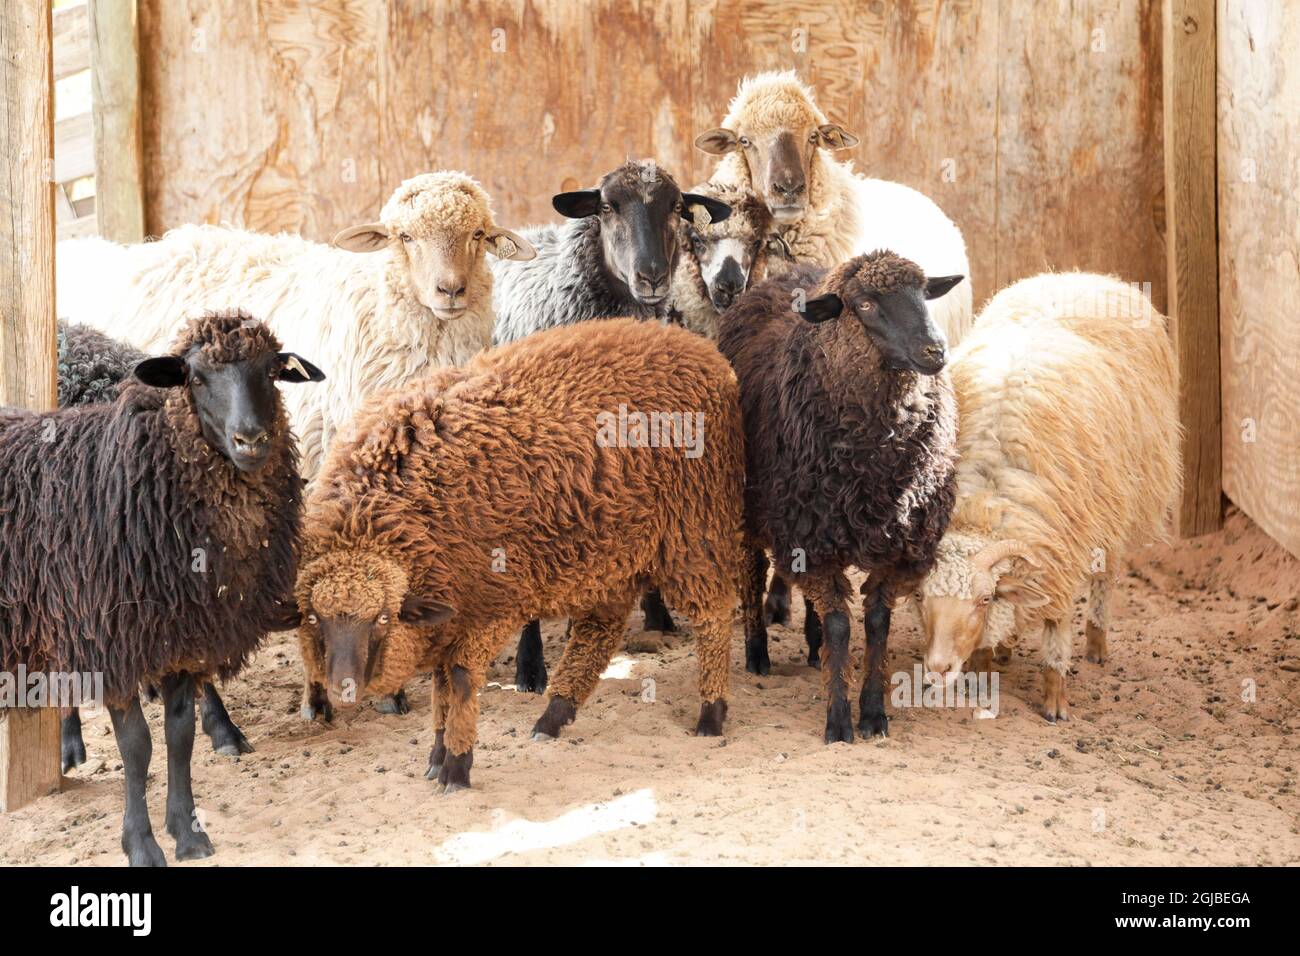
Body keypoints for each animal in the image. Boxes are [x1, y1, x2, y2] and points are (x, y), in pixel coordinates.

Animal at [293, 317, 746, 791]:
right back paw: (554, 716)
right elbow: (439, 685)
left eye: (382, 618)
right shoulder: (450, 612)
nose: (344, 690)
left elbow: (459, 681)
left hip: (696, 529)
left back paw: (710, 714)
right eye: (313, 618)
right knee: (599, 632)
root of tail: (698, 348)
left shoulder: (489, 606)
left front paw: (457, 766)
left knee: (713, 618)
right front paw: (436, 757)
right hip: (612, 554)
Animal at [717, 251, 963, 743]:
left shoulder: (896, 545)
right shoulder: (810, 536)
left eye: (925, 294)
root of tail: (795, 271)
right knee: (751, 575)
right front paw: (838, 721)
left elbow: (875, 623)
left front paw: (873, 714)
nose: (935, 351)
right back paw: (757, 653)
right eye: (864, 305)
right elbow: (839, 625)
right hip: (751, 506)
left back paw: (813, 650)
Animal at [916, 272, 1180, 721]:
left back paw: (1096, 642)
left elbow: (1056, 626)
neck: (988, 495)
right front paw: (984, 668)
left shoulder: (1062, 551)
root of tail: (1078, 275)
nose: (938, 668)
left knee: (1105, 578)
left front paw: (1055, 700)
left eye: (983, 598)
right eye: (922, 596)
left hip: (1118, 503)